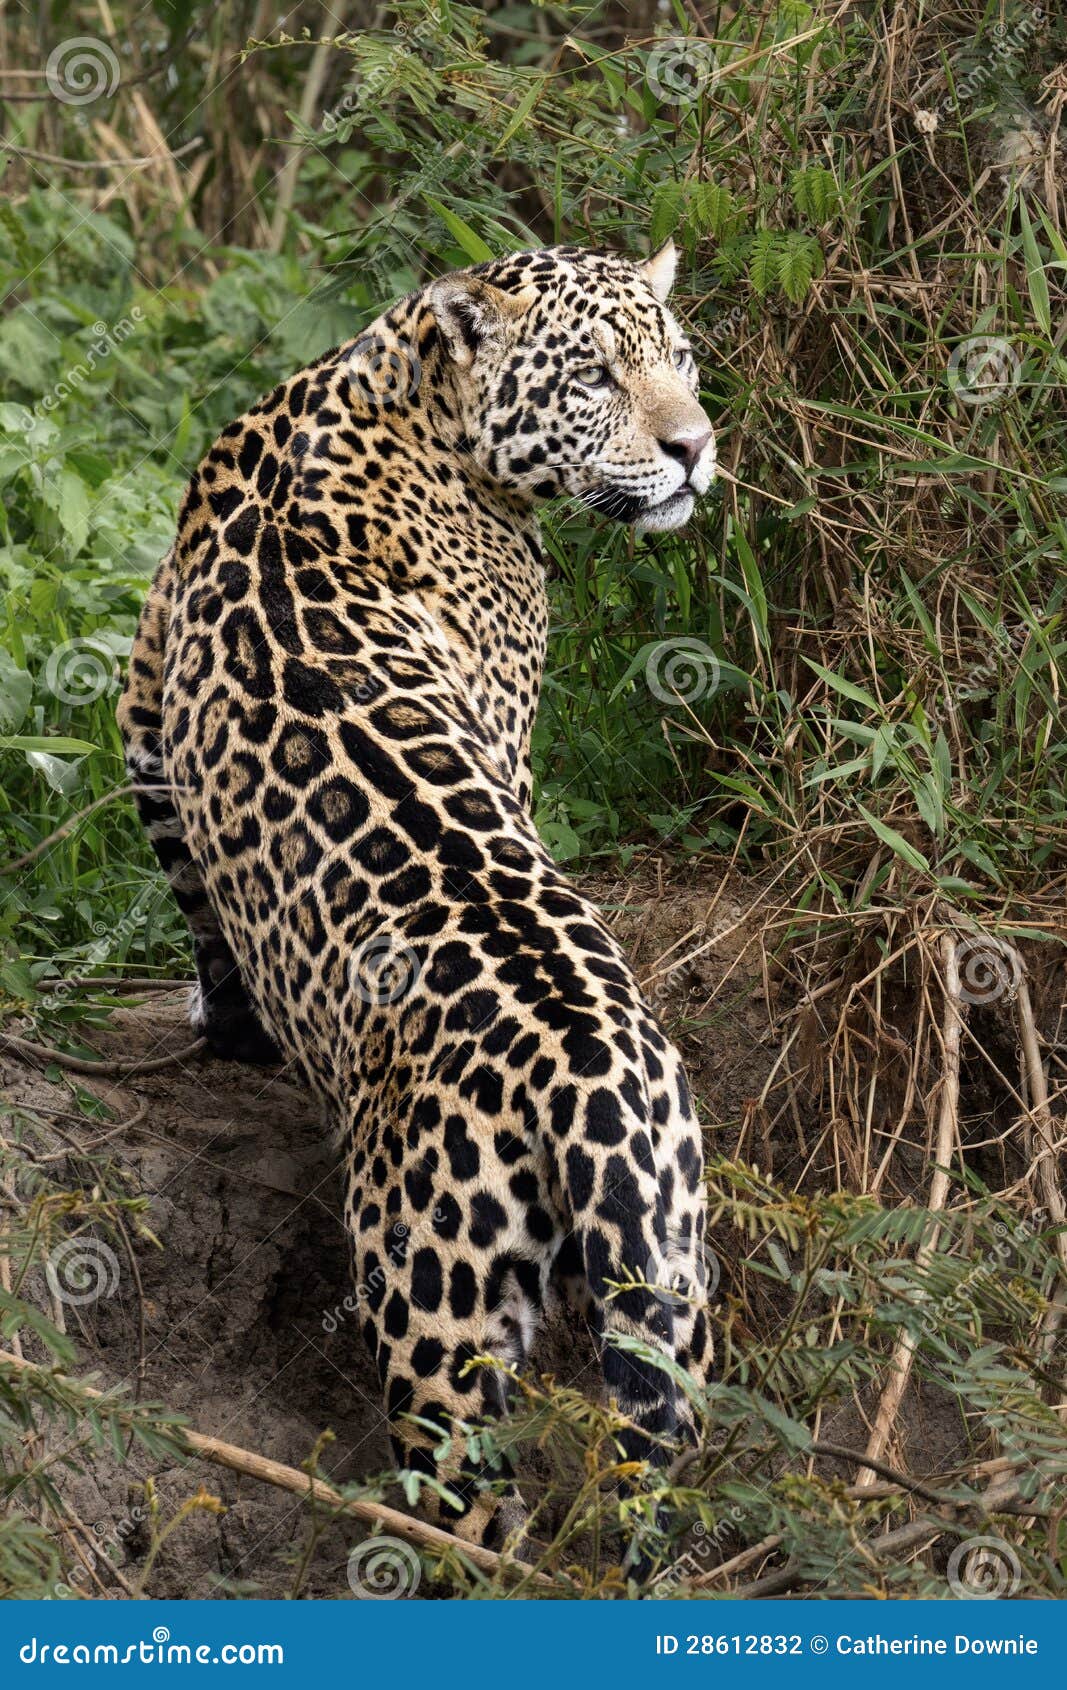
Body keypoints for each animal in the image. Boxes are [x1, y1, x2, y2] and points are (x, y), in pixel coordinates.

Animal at [117, 238, 717, 1555]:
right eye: (598, 375)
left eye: (681, 360)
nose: (696, 447)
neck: (394, 375)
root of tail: (589, 1077)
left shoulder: (143, 705)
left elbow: (197, 904)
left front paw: (226, 1026)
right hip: (649, 1273)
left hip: (469, 1296)